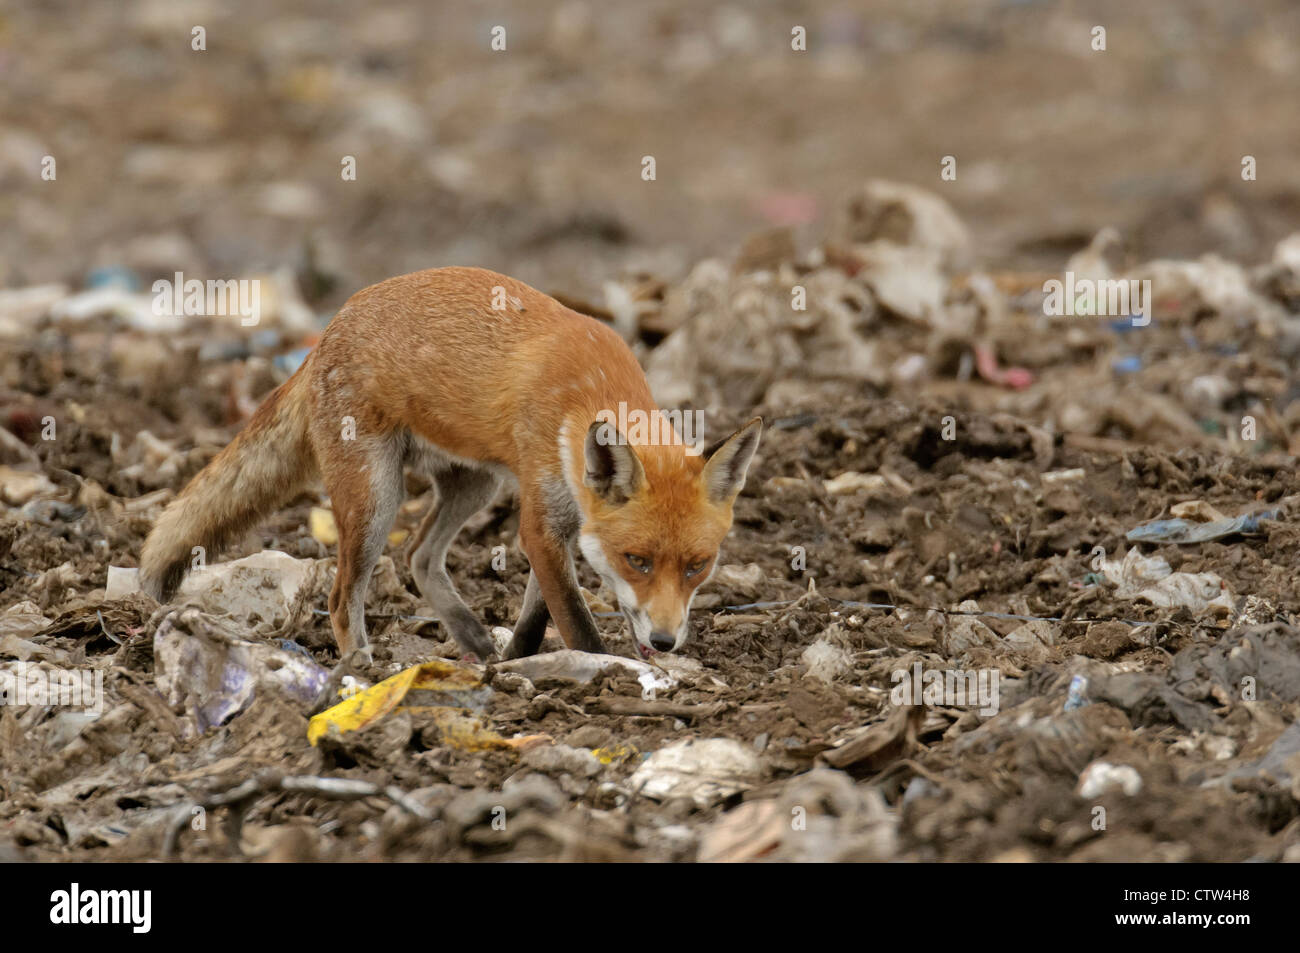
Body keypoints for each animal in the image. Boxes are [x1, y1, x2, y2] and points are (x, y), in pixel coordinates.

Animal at [139, 267, 761, 662]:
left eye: (698, 566)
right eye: (636, 561)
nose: (664, 642)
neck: (586, 390)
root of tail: (329, 329)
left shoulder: (557, 522)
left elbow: (537, 615)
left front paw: (516, 663)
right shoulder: (541, 520)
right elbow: (576, 622)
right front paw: (607, 669)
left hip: (474, 484)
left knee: (418, 555)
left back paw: (470, 636)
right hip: (375, 497)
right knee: (343, 598)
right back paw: (360, 670)